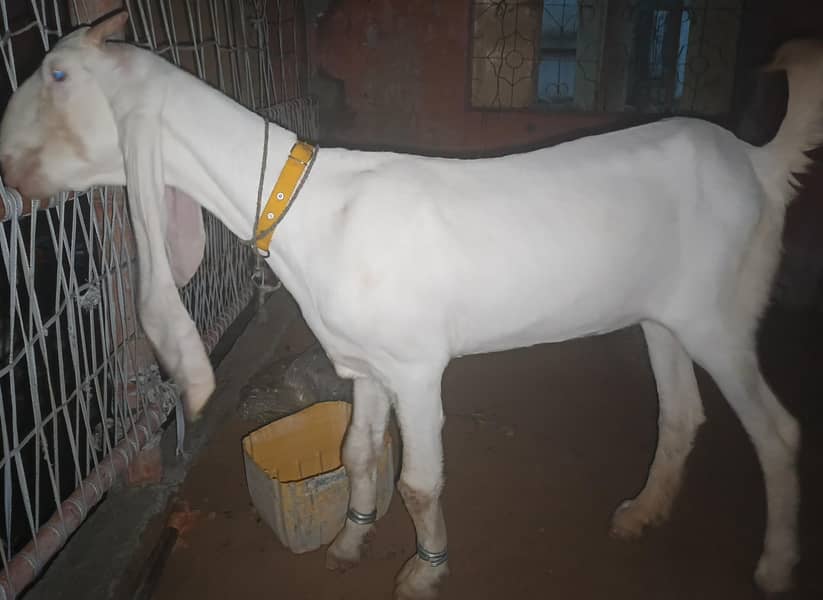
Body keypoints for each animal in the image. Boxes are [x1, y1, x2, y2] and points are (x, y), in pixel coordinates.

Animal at [0, 12, 817, 599]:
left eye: (59, 72)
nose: (8, 172)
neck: (310, 209)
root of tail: (756, 162)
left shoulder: (418, 368)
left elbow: (420, 483)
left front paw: (424, 571)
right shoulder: (365, 362)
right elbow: (358, 453)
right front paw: (348, 541)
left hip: (720, 313)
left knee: (776, 431)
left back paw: (775, 567)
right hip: (662, 315)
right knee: (680, 413)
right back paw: (641, 514)